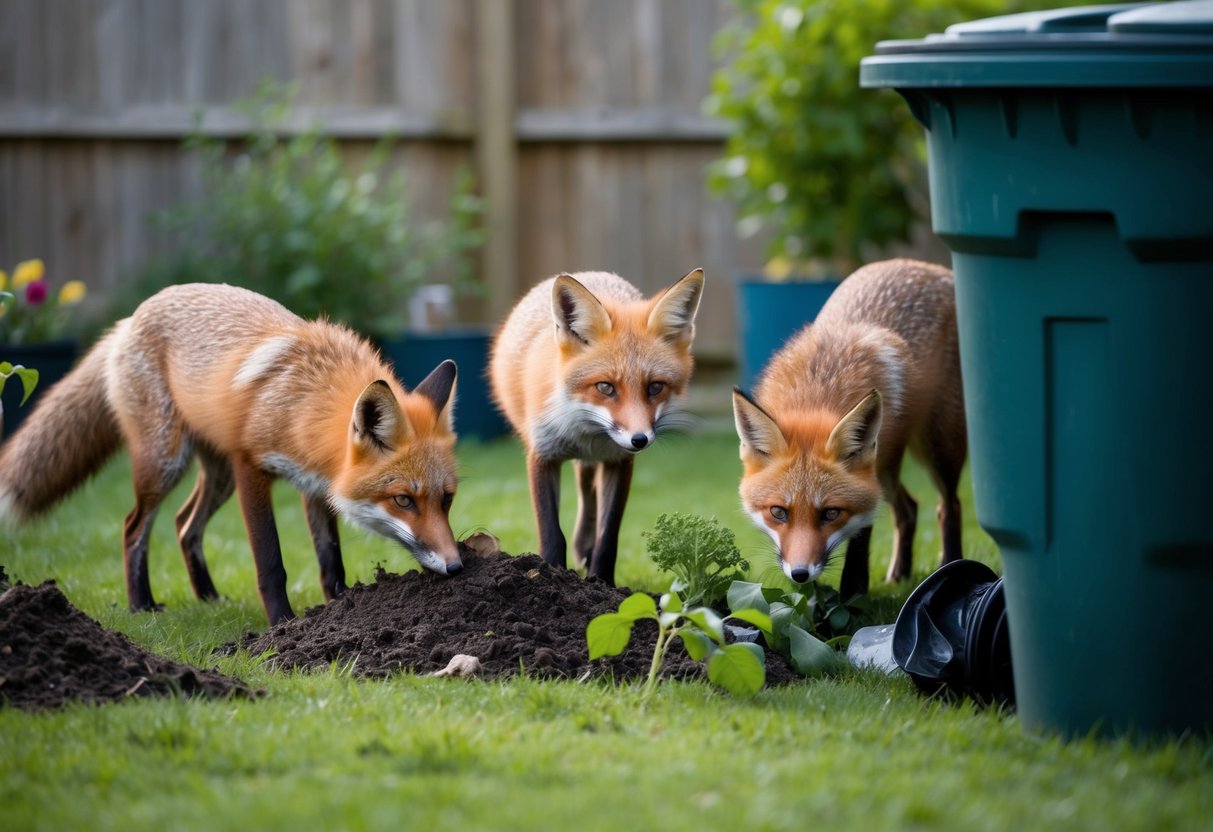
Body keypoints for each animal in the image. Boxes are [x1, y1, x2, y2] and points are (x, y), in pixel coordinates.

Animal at [0, 283, 463, 624]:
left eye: (447, 499)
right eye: (403, 500)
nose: (456, 568)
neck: (301, 405)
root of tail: (132, 317)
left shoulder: (315, 485)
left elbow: (330, 558)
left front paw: (341, 608)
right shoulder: (250, 467)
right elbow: (271, 561)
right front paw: (283, 625)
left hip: (215, 476)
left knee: (184, 524)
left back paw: (208, 597)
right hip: (165, 463)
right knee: (133, 527)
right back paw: (141, 605)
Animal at [490, 268, 705, 585]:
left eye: (655, 387)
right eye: (605, 387)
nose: (639, 439)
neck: (586, 432)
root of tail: (587, 274)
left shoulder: (618, 461)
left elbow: (608, 537)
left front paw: (601, 582)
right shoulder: (542, 455)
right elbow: (552, 533)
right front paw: (550, 575)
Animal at [732, 258, 966, 599]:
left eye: (831, 513)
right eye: (778, 512)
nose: (800, 573)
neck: (818, 388)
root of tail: (930, 267)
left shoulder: (866, 491)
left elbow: (859, 544)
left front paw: (852, 597)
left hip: (938, 449)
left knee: (949, 507)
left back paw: (950, 565)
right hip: (889, 469)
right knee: (909, 509)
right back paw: (900, 573)